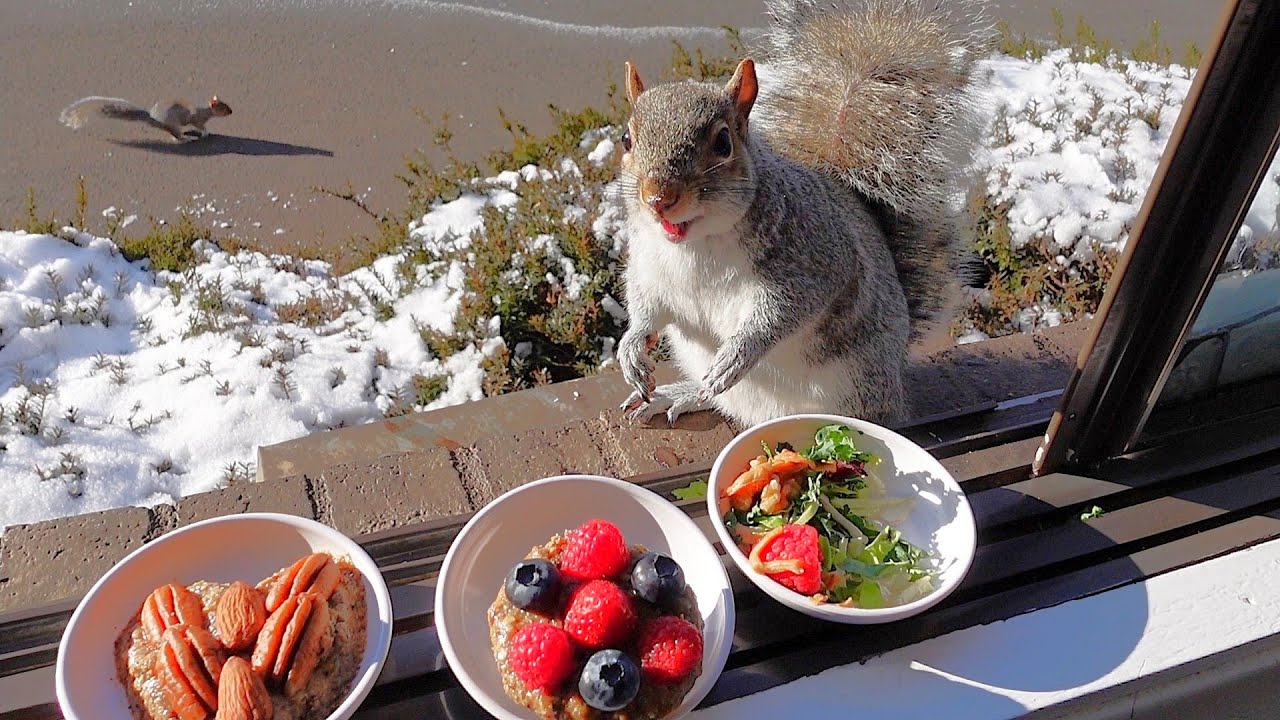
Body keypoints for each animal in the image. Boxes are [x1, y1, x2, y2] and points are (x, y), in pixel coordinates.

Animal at [60, 96, 233, 141]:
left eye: (225, 104)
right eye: (222, 107)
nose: (232, 111)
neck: (205, 110)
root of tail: (153, 118)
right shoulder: (196, 119)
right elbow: (201, 126)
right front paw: (205, 133)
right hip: (173, 125)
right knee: (176, 136)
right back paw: (187, 139)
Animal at [615, 0, 993, 429]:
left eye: (723, 142)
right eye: (627, 139)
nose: (658, 197)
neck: (696, 246)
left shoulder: (816, 258)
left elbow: (782, 314)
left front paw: (737, 354)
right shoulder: (650, 267)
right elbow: (646, 306)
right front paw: (632, 348)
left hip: (859, 387)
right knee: (717, 398)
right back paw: (683, 393)